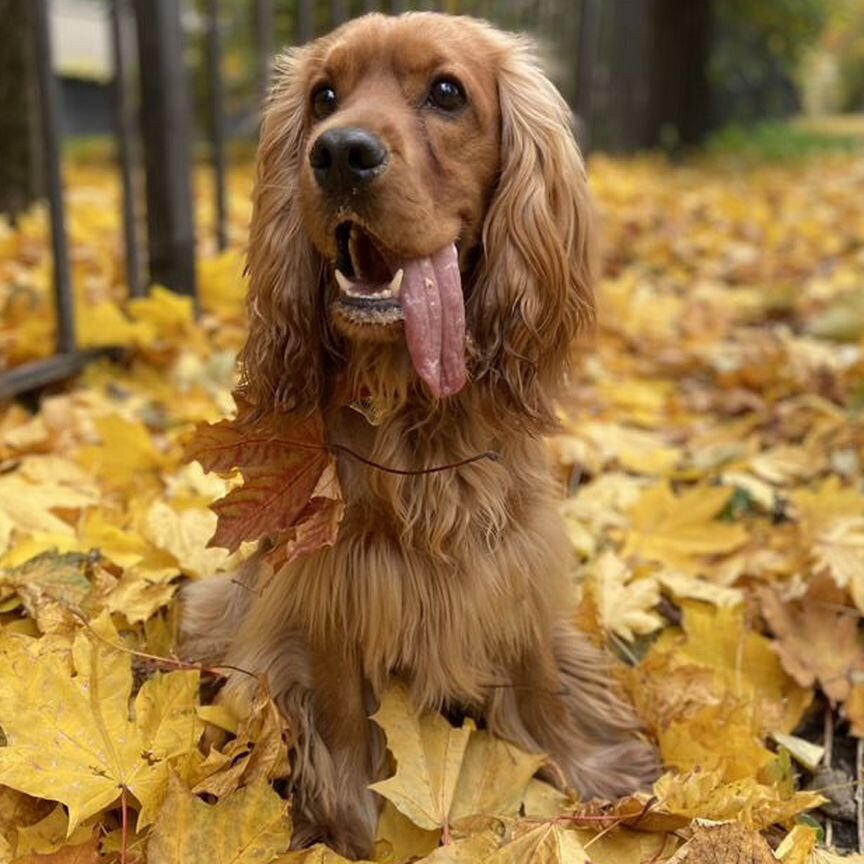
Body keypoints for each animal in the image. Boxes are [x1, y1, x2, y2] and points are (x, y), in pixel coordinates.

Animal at [182, 11, 656, 856]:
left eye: (446, 92)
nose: (339, 151)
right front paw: (353, 832)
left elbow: (538, 680)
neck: (415, 405)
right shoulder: (334, 579)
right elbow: (343, 718)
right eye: (323, 96)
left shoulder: (514, 558)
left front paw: (583, 769)